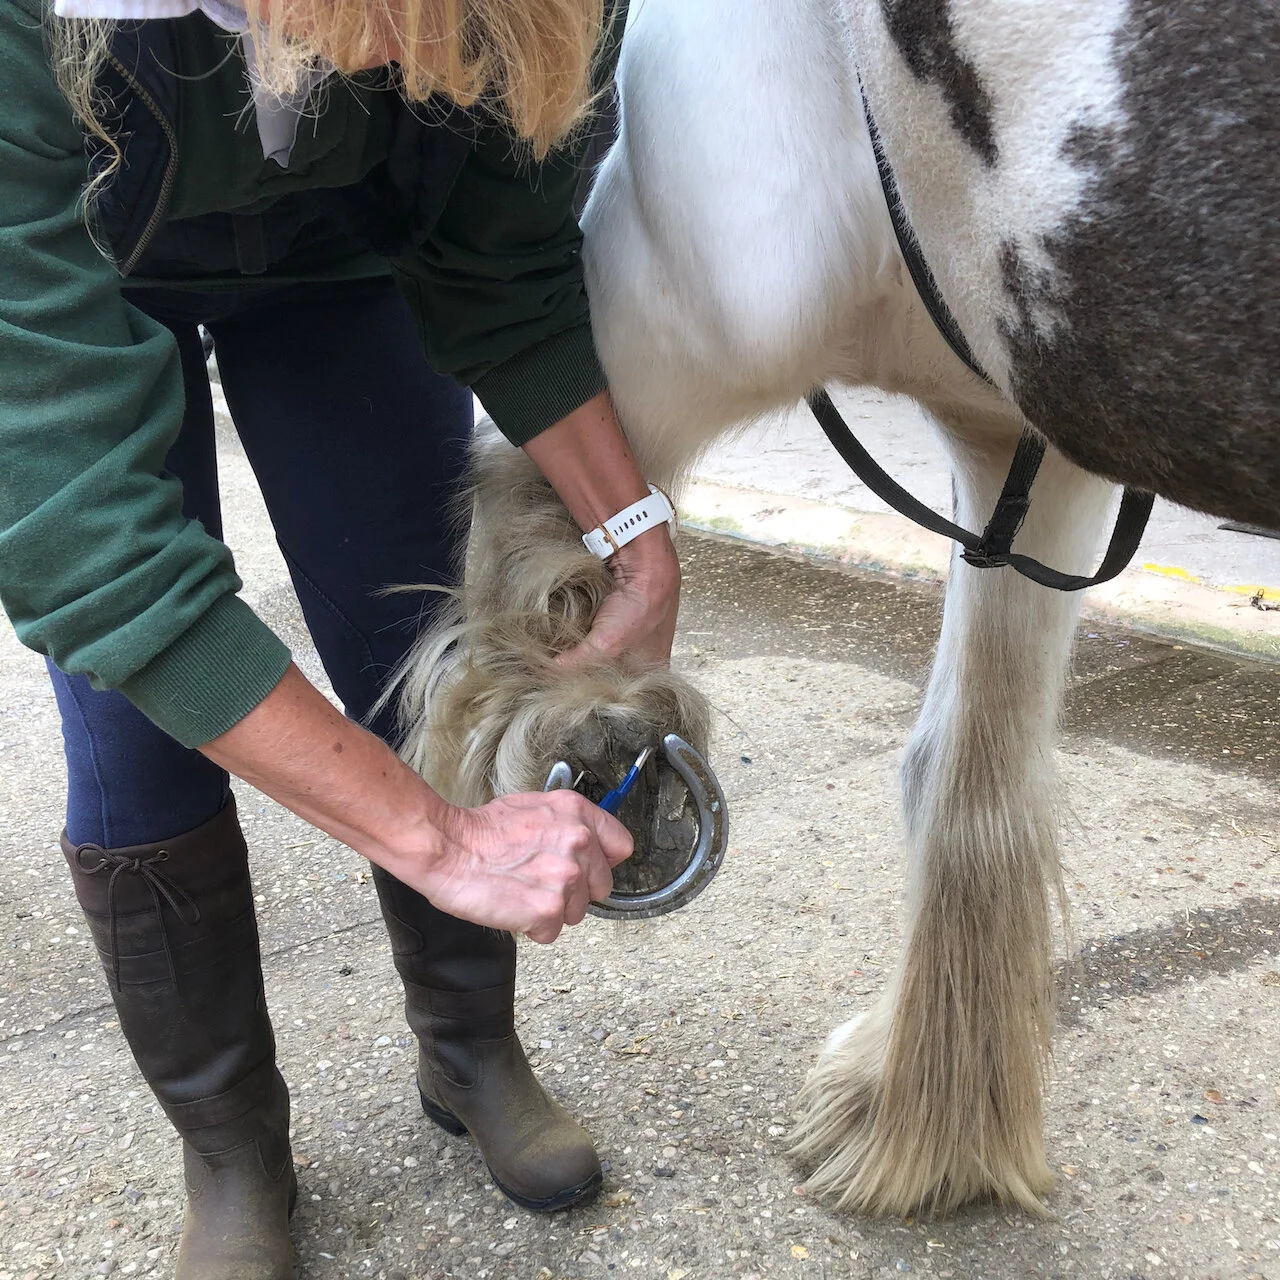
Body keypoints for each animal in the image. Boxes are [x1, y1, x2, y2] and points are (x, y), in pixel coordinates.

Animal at [393, 0, 1279, 1215]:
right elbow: (967, 777)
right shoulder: (1025, 426)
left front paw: (578, 721)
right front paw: (922, 1120)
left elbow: (537, 483)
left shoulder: (700, 253)